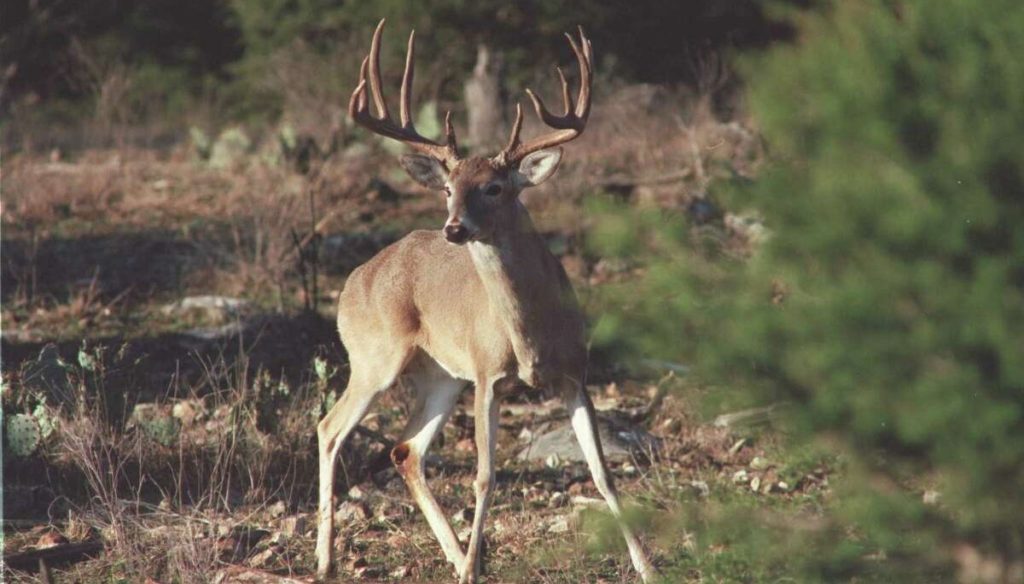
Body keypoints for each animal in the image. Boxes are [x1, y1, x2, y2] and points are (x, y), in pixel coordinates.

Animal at [316, 19, 657, 583]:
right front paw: (475, 566)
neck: (530, 334)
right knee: (329, 427)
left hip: (441, 375)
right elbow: (484, 476)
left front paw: (648, 566)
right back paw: (327, 559)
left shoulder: (575, 373)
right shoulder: (488, 374)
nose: (455, 228)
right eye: (448, 189)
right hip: (375, 357)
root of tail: (353, 281)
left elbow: (602, 473)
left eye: (495, 187)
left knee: (405, 449)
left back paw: (455, 557)